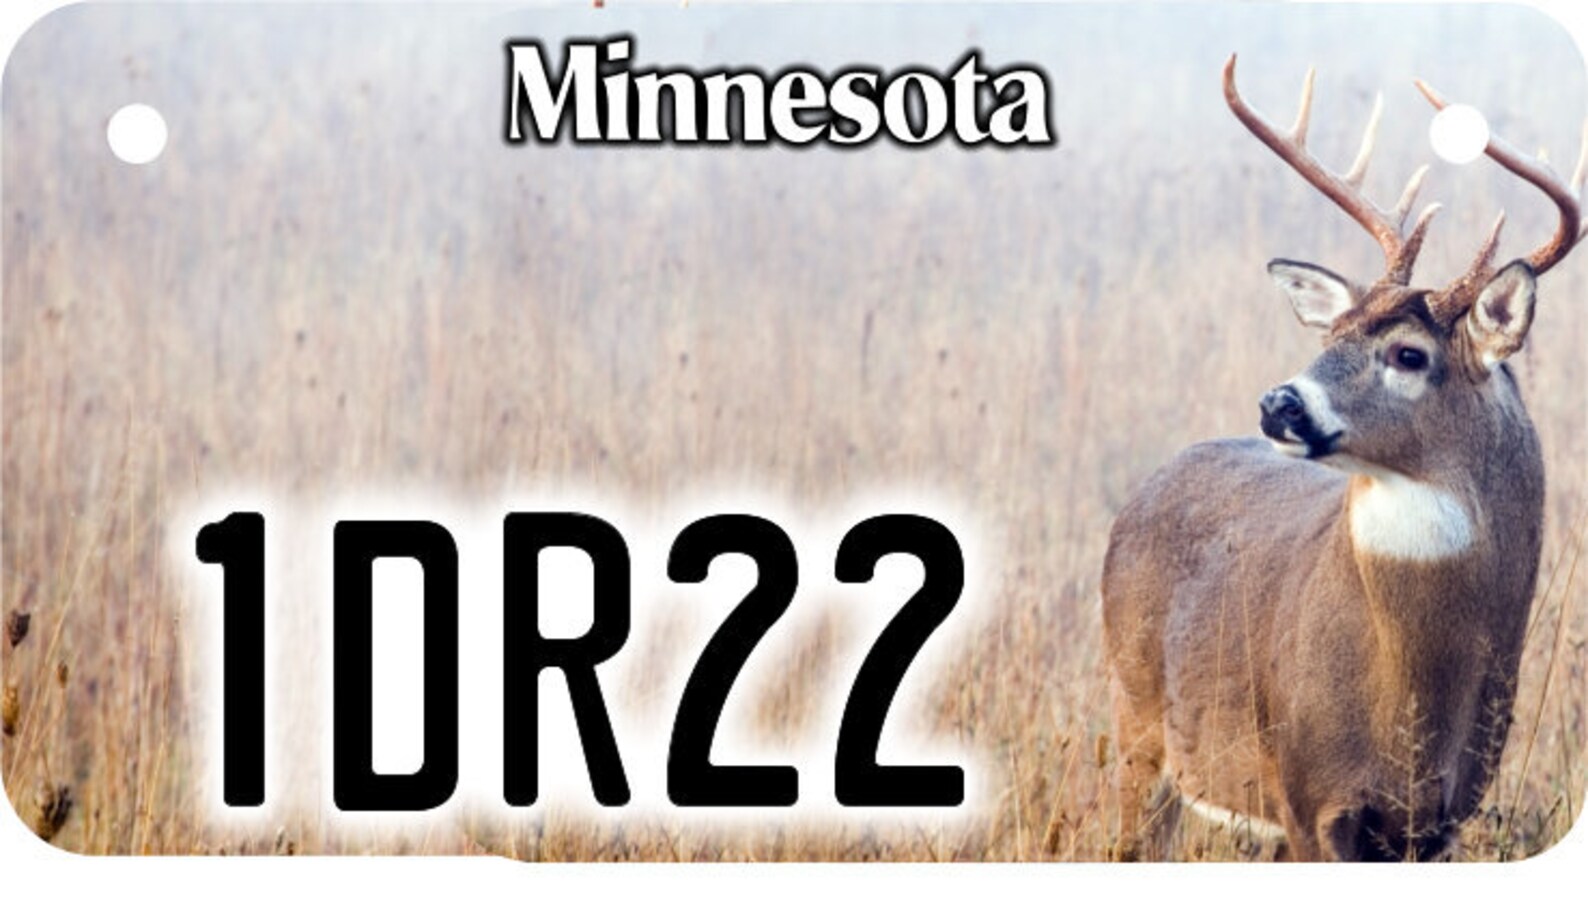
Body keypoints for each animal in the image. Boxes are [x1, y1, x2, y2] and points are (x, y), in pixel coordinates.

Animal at [1101, 56, 1583, 862]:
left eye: (1409, 354)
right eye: (1332, 334)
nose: (1279, 404)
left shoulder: (1445, 817)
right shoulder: (1306, 792)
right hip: (1138, 721)